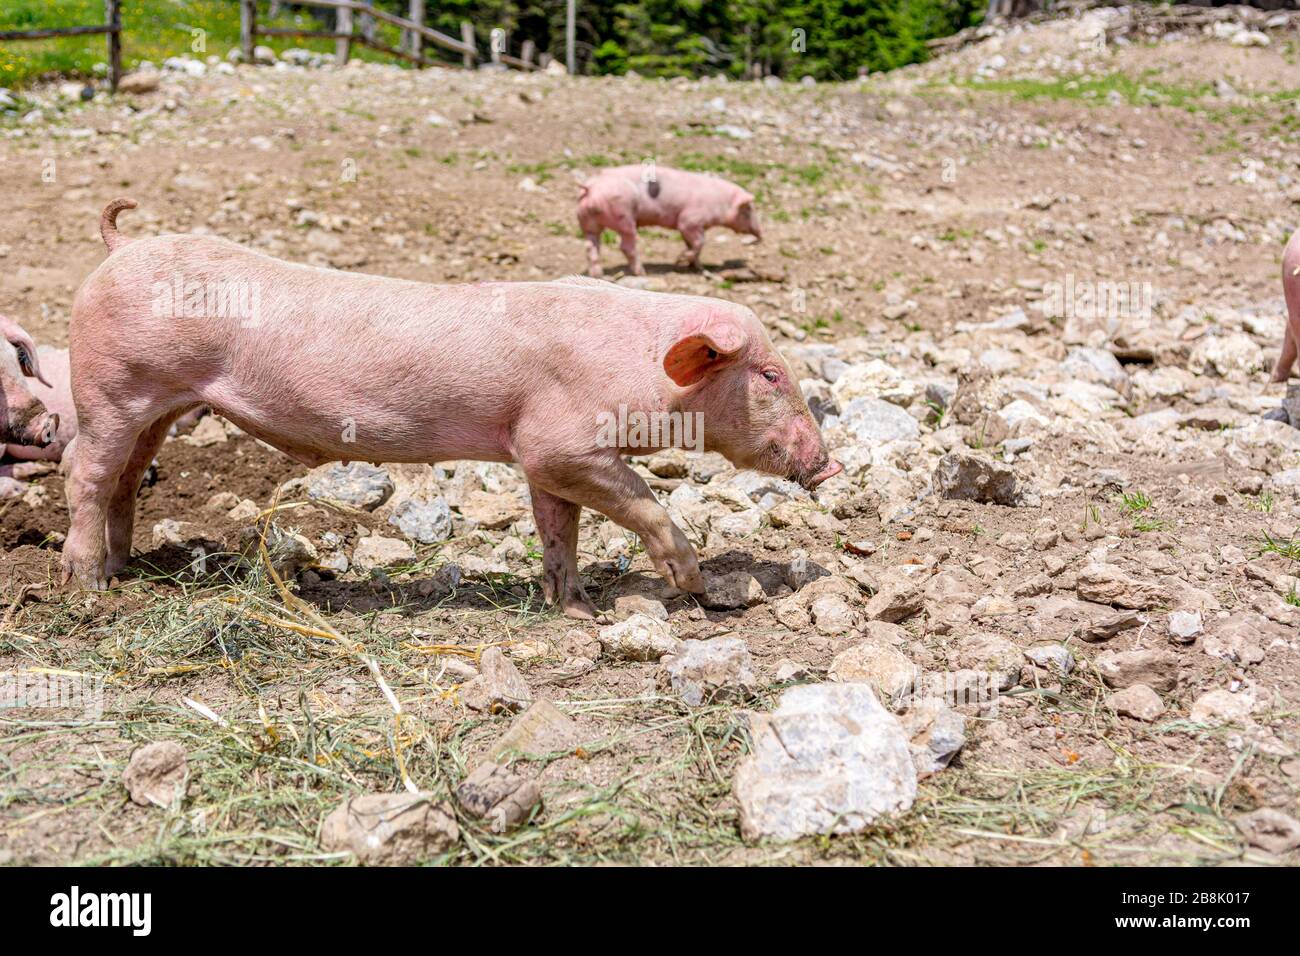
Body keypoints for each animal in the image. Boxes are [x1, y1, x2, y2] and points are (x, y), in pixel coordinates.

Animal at [61, 199, 840, 617]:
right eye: (770, 374)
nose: (830, 466)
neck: (644, 370)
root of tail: (119, 246)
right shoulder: (561, 441)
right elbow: (640, 501)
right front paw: (692, 584)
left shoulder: (537, 453)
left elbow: (558, 530)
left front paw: (576, 608)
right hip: (110, 387)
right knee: (84, 472)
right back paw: (87, 586)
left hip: (159, 404)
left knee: (126, 479)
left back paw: (124, 567)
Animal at [577, 165, 761, 277]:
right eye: (748, 209)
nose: (760, 235)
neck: (721, 204)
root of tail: (591, 188)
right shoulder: (689, 220)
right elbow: (699, 242)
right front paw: (679, 261)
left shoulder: (690, 227)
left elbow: (692, 245)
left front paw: (698, 268)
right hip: (624, 217)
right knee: (626, 245)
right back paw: (642, 272)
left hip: (587, 221)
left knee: (590, 246)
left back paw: (597, 274)